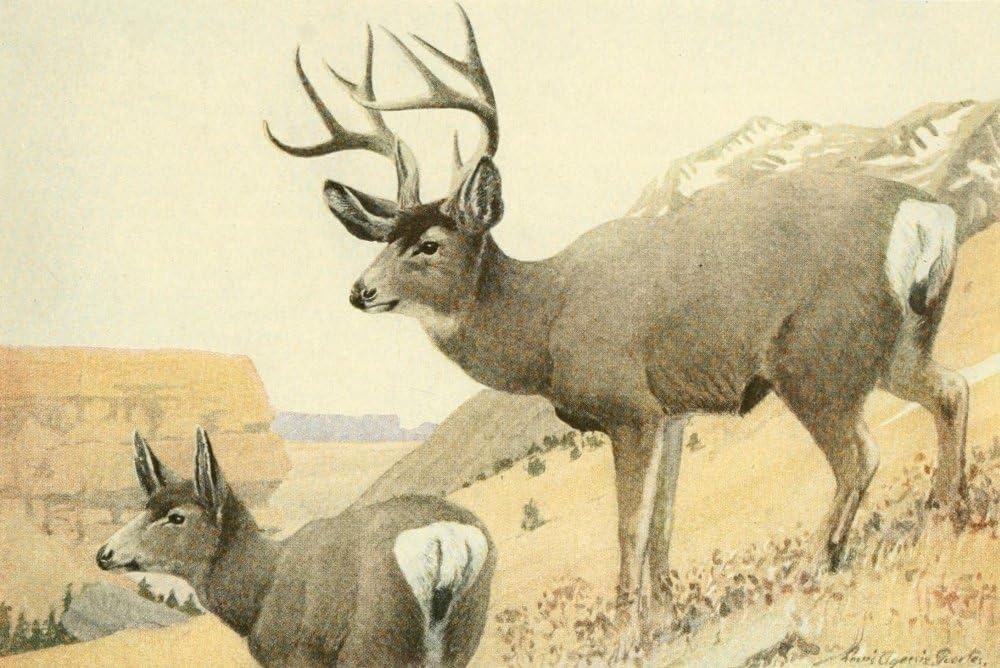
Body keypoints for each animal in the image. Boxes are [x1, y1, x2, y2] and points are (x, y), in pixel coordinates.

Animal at [97, 430, 495, 667]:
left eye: (176, 517)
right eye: (145, 507)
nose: (104, 553)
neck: (260, 591)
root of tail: (447, 539)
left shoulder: (296, 657)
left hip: (375, 643)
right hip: (461, 640)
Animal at [264, 5, 969, 652]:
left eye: (430, 244)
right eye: (385, 238)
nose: (360, 291)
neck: (546, 322)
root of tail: (926, 214)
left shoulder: (628, 407)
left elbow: (629, 525)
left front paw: (625, 633)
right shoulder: (673, 408)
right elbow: (663, 520)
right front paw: (668, 615)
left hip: (817, 356)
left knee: (860, 454)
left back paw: (818, 559)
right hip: (899, 342)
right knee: (952, 391)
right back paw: (948, 510)